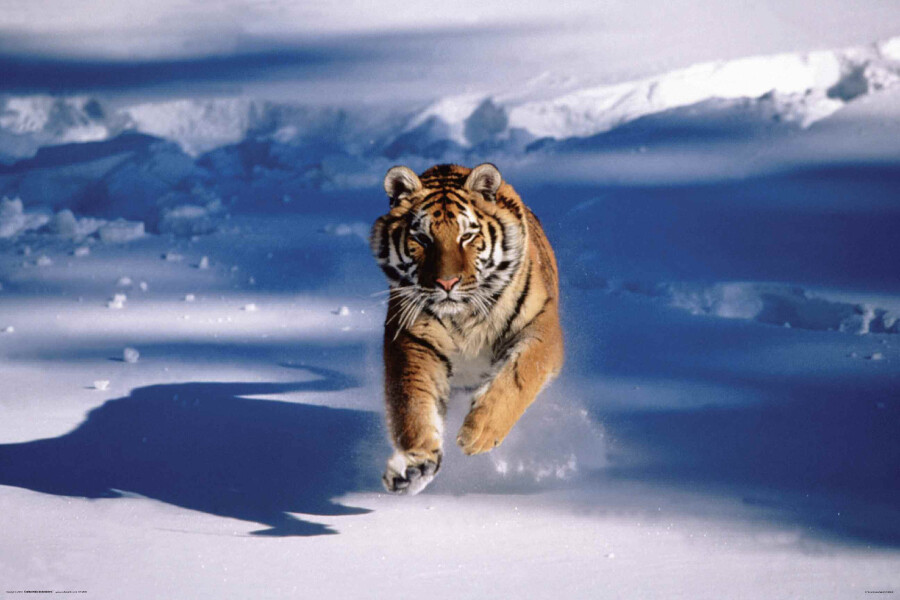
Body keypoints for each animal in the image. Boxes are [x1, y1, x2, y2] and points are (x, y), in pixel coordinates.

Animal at [370, 163, 564, 495]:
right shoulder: (413, 340)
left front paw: (479, 433)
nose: (447, 283)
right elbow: (413, 403)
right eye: (422, 238)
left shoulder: (541, 328)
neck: (464, 316)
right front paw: (414, 466)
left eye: (467, 236)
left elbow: (519, 376)